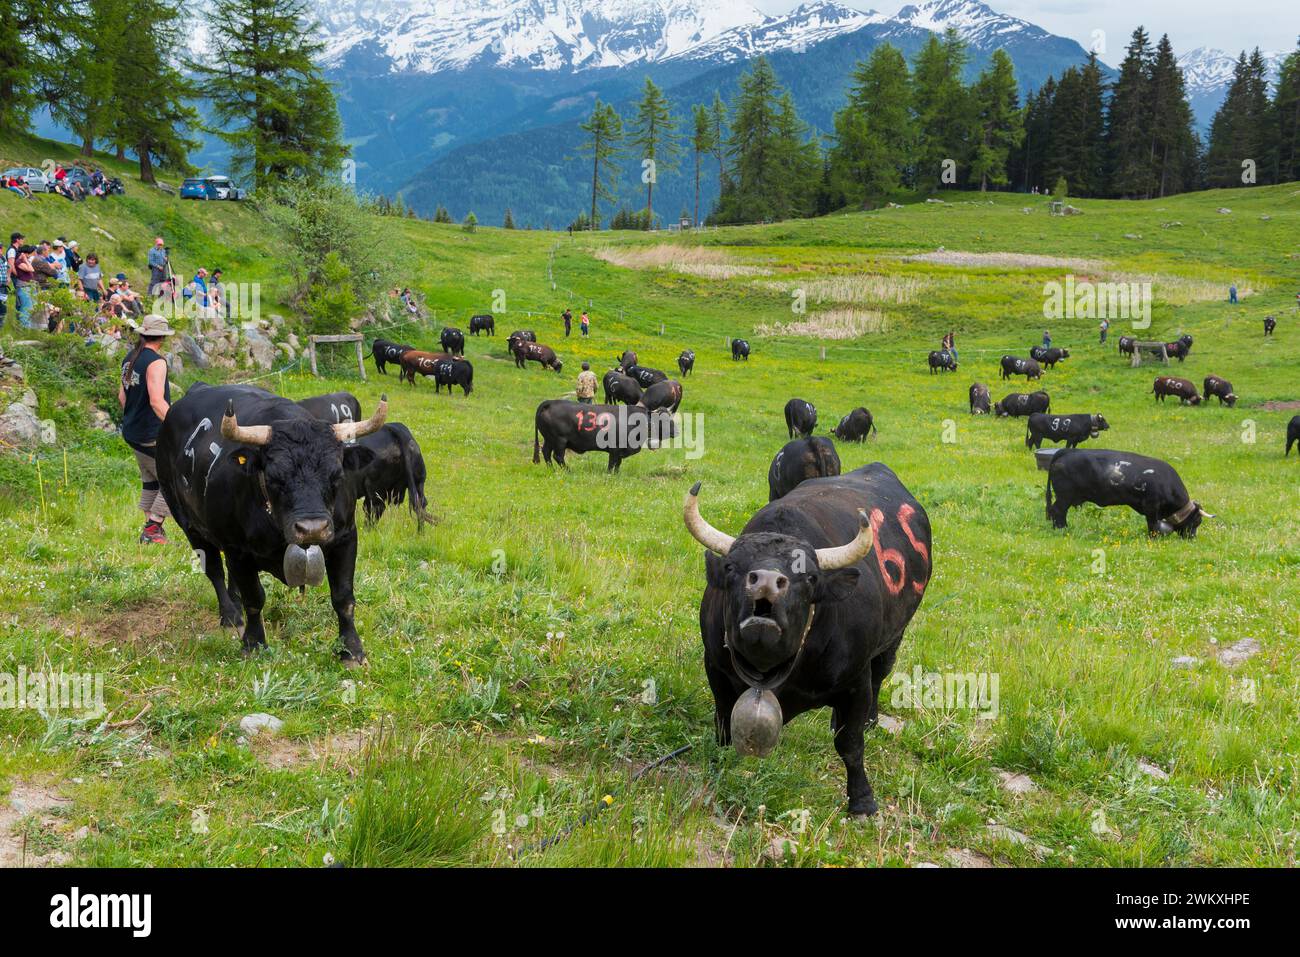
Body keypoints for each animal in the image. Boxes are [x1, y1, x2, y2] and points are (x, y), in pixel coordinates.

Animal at [155, 383, 389, 664]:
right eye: (274, 477)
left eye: (337, 475)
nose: (312, 529)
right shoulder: (237, 548)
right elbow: (254, 598)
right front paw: (254, 644)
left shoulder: (345, 537)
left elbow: (343, 597)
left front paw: (351, 650)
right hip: (190, 525)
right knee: (215, 571)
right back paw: (231, 616)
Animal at [533, 400, 676, 472]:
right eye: (662, 420)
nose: (677, 431)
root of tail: (550, 402)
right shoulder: (614, 449)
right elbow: (612, 463)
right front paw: (609, 474)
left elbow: (618, 463)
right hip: (559, 440)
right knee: (557, 456)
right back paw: (568, 471)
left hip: (549, 439)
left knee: (546, 453)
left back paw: (552, 470)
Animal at [684, 465, 931, 815]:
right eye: (732, 566)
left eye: (810, 577)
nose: (765, 583)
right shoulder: (715, 669)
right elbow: (723, 726)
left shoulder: (855, 683)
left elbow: (850, 744)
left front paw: (862, 800)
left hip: (894, 638)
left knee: (880, 675)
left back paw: (870, 720)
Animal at [1045, 448, 1213, 537]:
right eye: (1197, 521)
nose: (1192, 538)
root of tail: (1068, 451)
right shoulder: (1151, 506)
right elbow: (1152, 524)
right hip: (1065, 496)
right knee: (1057, 511)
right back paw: (1062, 529)